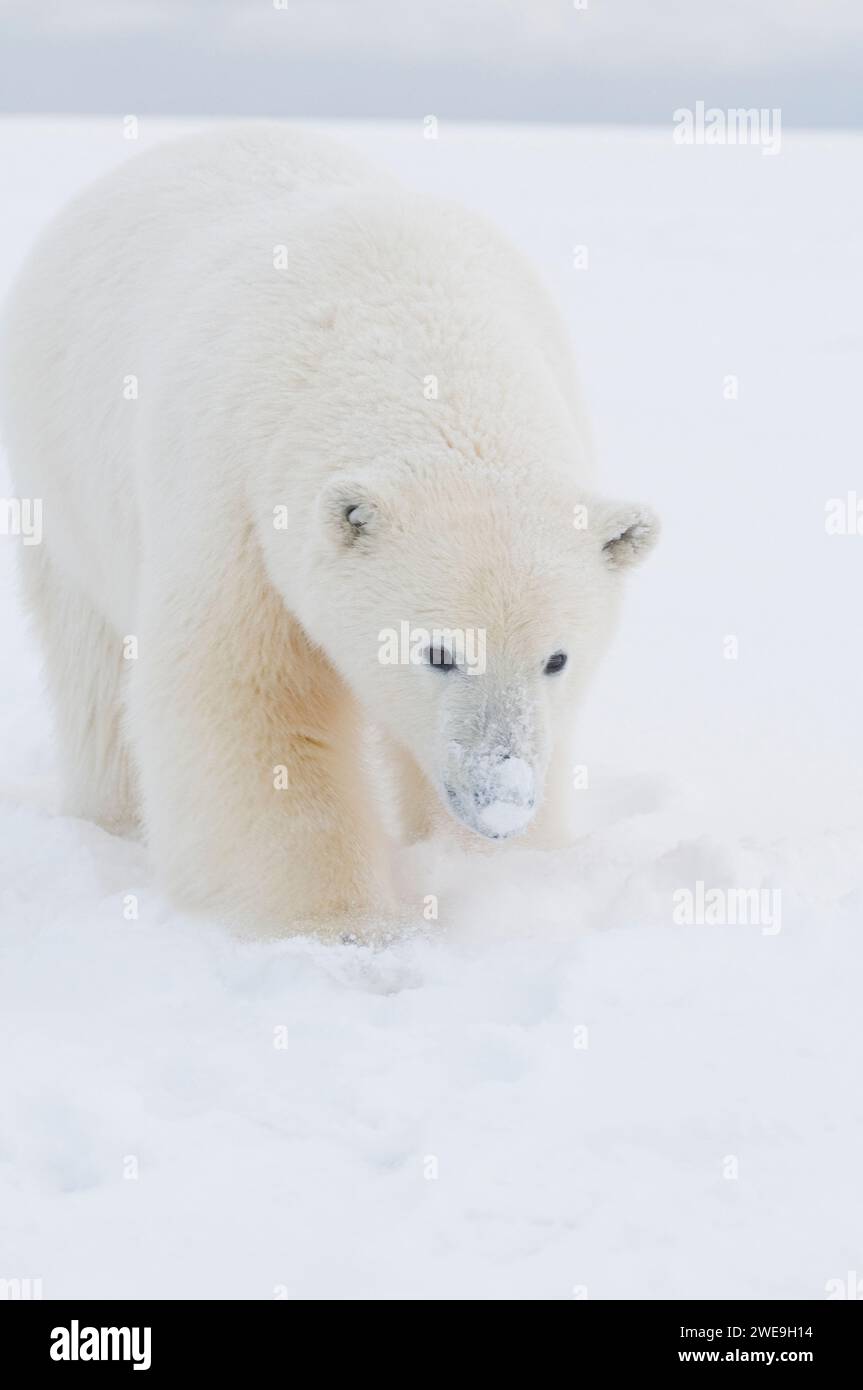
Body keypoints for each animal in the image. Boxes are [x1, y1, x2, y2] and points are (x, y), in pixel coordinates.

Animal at [0, 124, 658, 937]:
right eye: (437, 652)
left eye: (557, 658)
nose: (498, 804)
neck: (409, 333)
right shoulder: (237, 500)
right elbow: (246, 698)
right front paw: (346, 924)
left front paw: (499, 879)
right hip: (63, 478)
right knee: (91, 667)